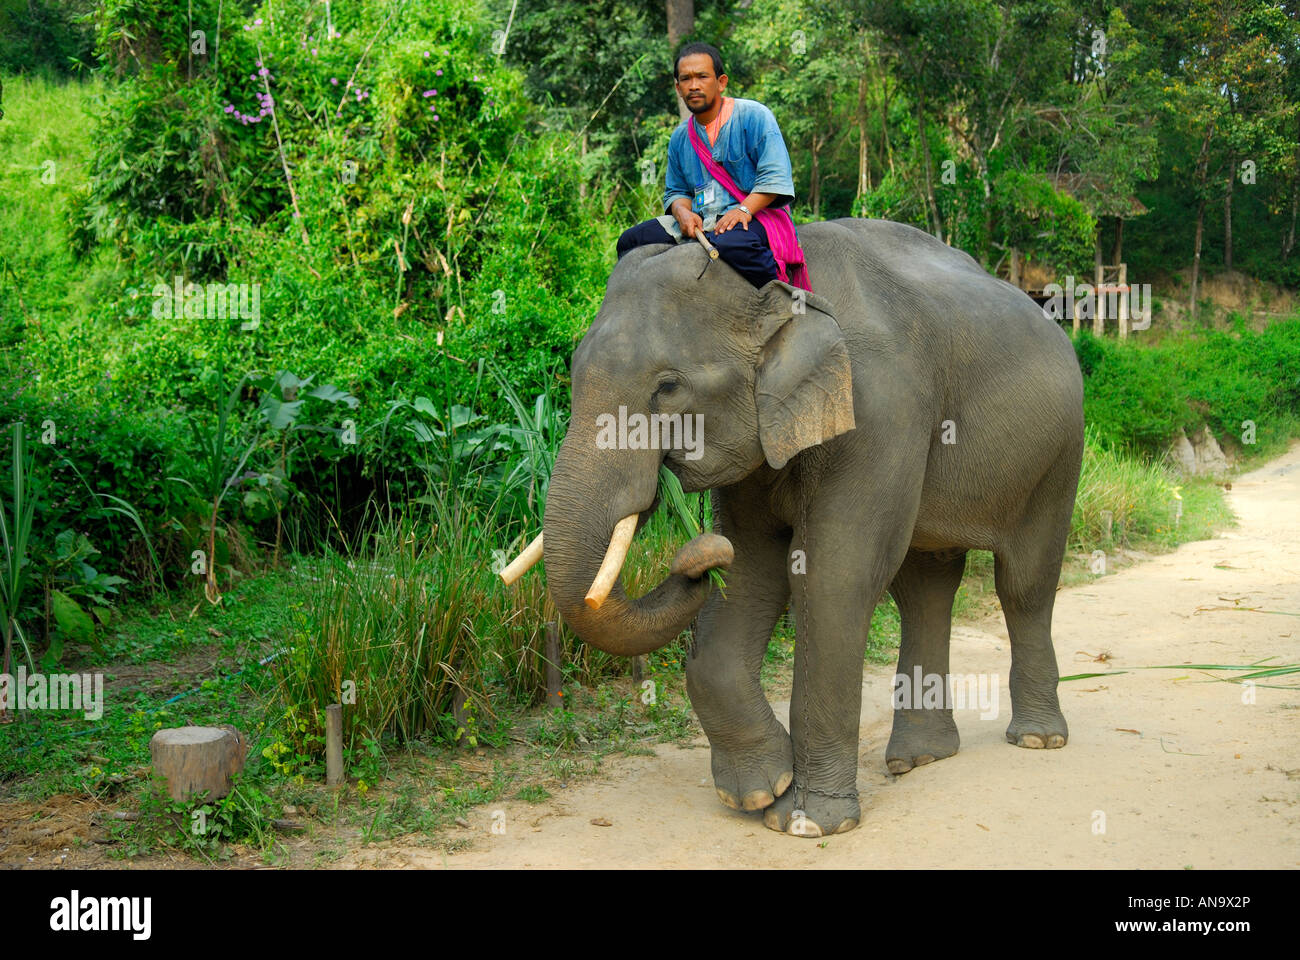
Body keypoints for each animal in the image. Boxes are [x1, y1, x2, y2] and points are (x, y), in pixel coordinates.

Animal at [507, 217, 1084, 838]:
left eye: (668, 387)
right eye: (573, 371)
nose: (699, 557)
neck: (778, 290)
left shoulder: (879, 409)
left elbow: (833, 574)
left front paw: (808, 822)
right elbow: (754, 569)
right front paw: (759, 791)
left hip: (1059, 455)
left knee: (1023, 584)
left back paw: (1037, 739)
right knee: (926, 588)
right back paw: (920, 758)